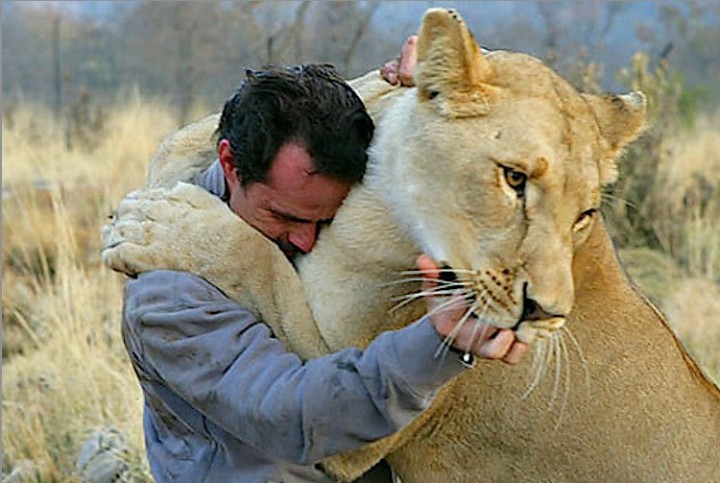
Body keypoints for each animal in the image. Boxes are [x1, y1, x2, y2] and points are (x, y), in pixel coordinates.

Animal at [103, 8, 720, 482]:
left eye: (585, 214)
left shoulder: (339, 395)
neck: (381, 189)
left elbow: (262, 264)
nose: (544, 314)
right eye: (514, 178)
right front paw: (149, 199)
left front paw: (160, 224)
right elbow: (180, 138)